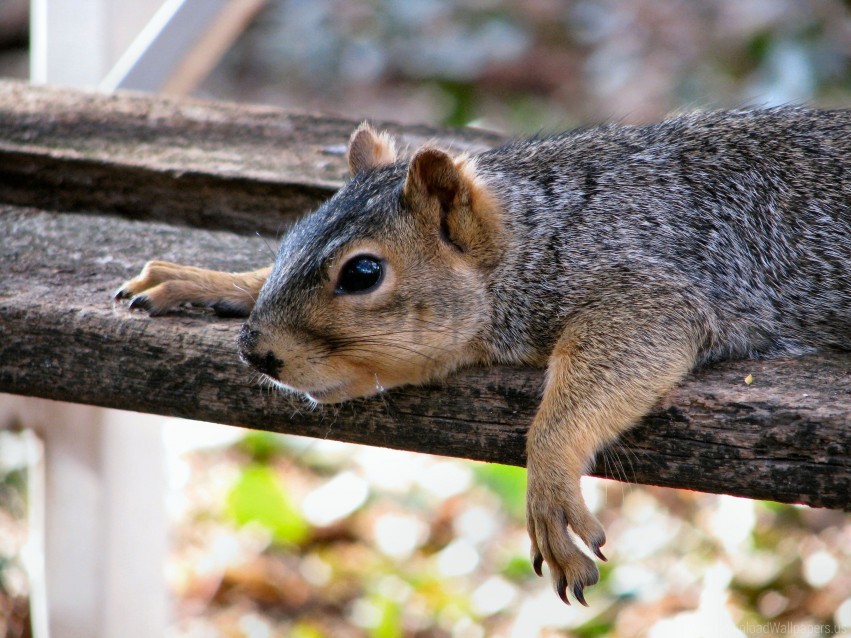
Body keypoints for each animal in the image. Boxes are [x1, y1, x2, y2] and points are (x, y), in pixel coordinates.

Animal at [116, 107, 851, 605]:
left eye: (362, 273)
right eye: (288, 238)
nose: (257, 352)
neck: (541, 232)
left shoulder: (656, 288)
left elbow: (619, 359)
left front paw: (550, 484)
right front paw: (202, 279)